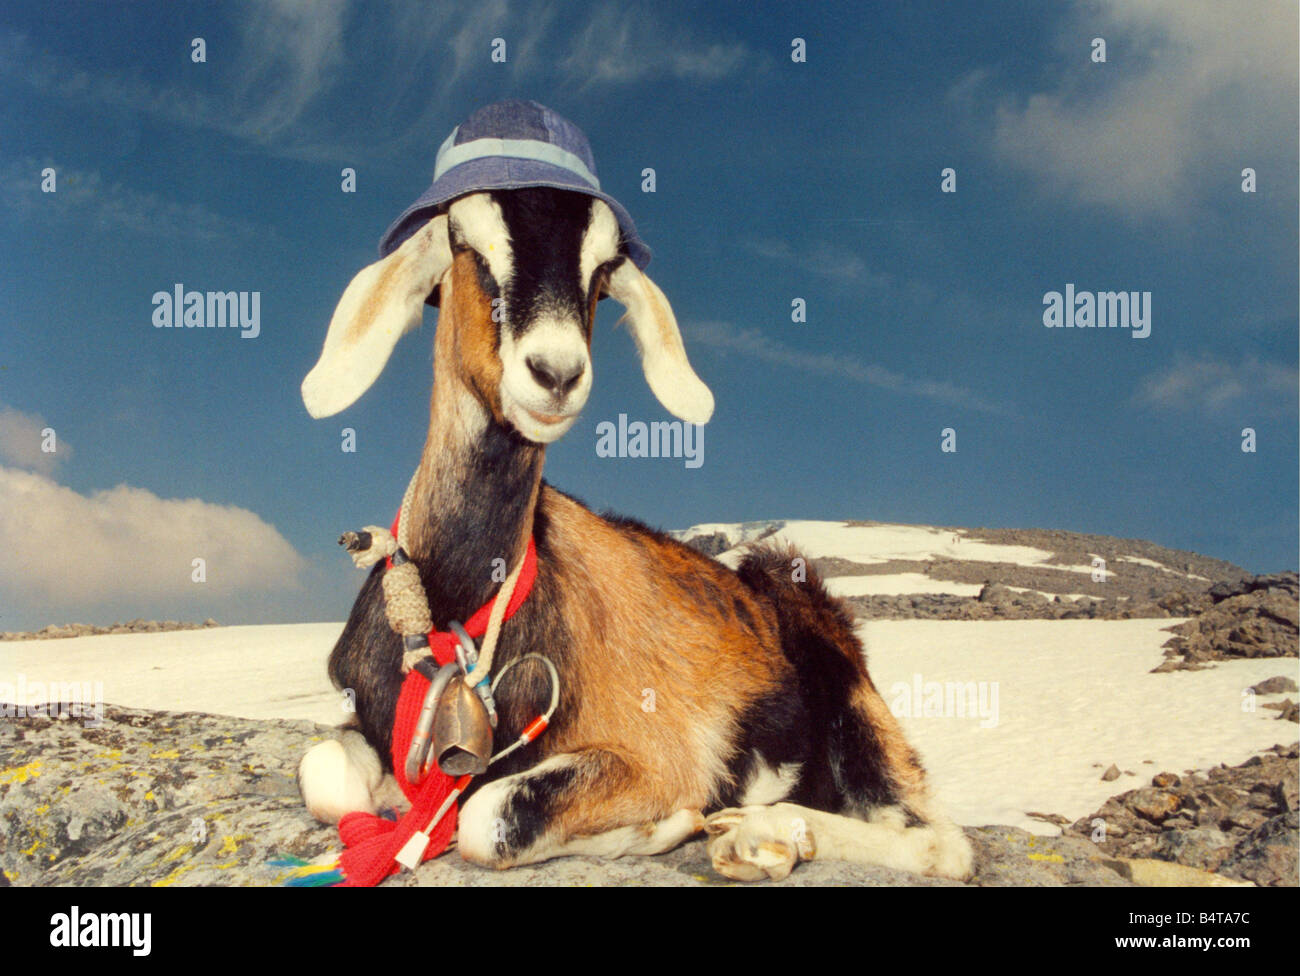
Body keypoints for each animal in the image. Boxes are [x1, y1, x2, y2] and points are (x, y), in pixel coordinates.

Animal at [297, 183, 973, 882]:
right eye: (467, 243)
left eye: (600, 273)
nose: (557, 373)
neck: (462, 602)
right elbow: (323, 770)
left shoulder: (655, 759)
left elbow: (489, 817)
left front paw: (667, 825)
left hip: (850, 697)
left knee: (939, 842)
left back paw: (756, 835)